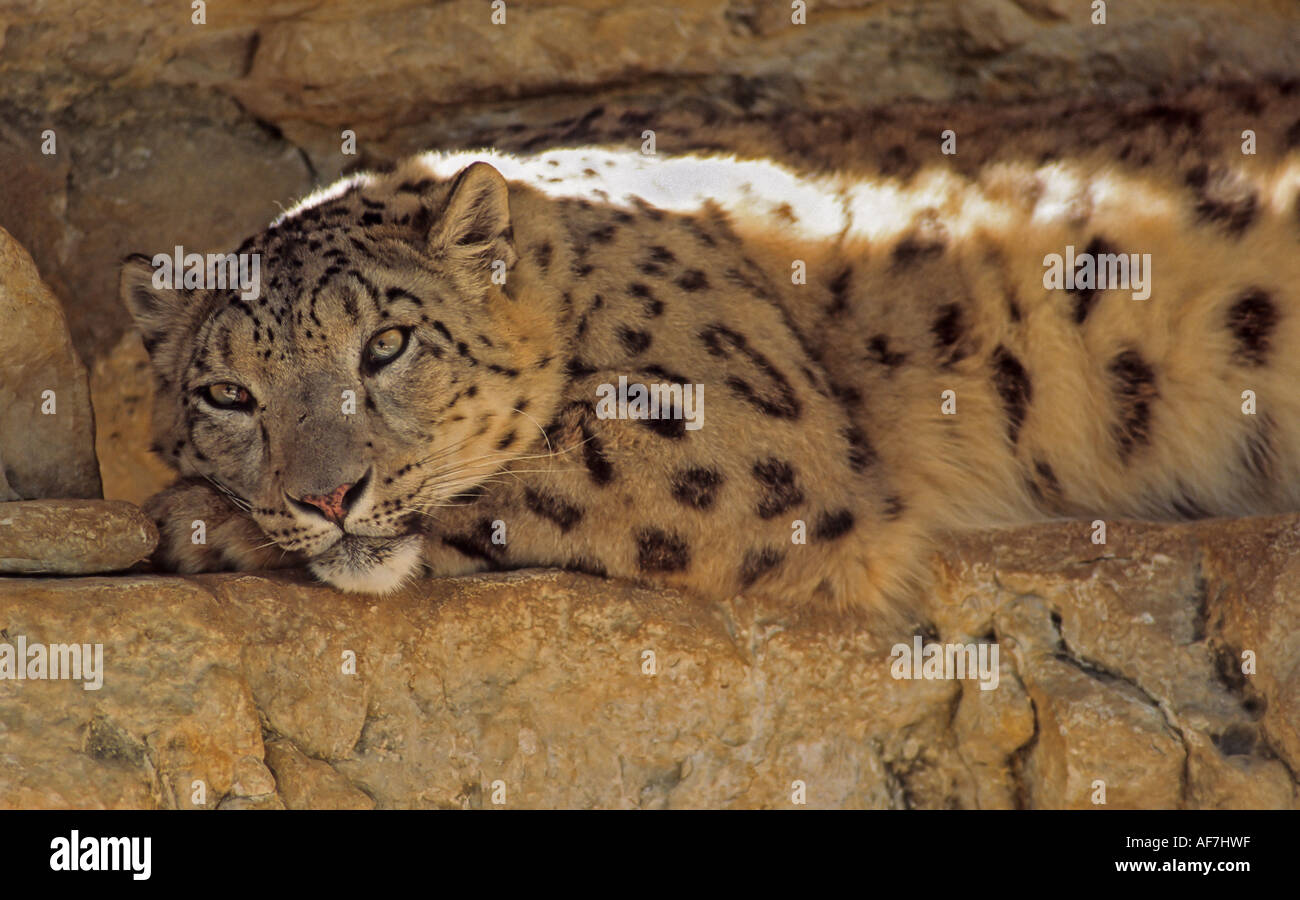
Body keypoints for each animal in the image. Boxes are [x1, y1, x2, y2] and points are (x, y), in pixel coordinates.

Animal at [120, 95, 1300, 625]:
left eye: (387, 343)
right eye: (227, 393)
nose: (325, 497)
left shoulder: (734, 437)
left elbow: (525, 479)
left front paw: (199, 523)